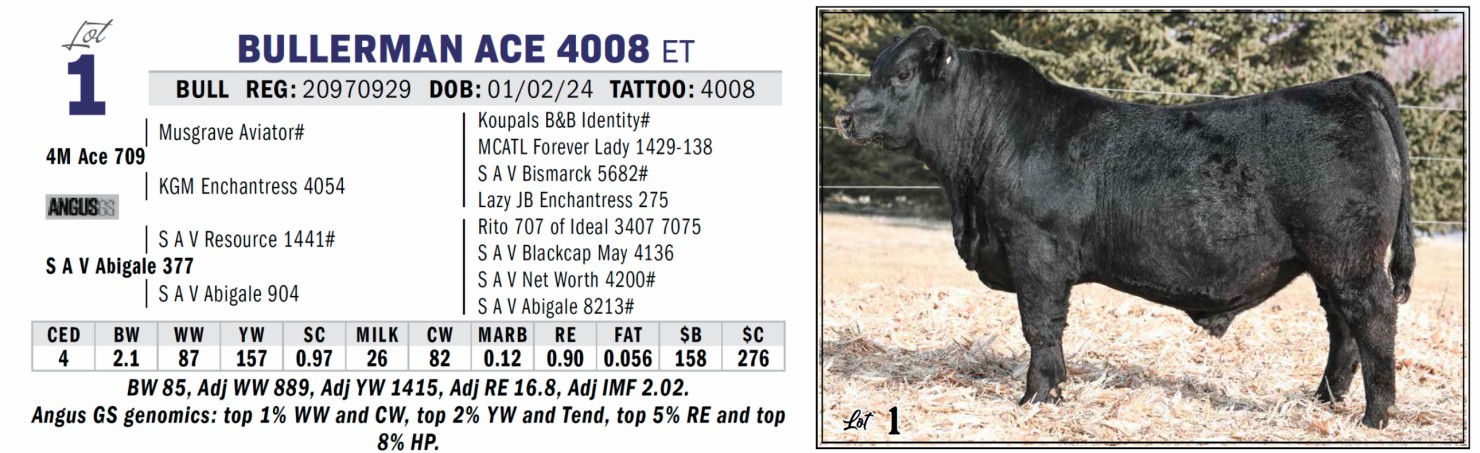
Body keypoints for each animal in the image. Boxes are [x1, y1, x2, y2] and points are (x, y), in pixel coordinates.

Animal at [834, 26, 1415, 428]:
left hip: (1349, 254)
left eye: (902, 75)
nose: (844, 117)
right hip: (1328, 261)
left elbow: (1040, 326)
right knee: (1341, 326)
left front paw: (1038, 397)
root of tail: (1350, 85)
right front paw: (1053, 392)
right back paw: (1324, 399)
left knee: (1373, 319)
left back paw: (1376, 416)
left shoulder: (1035, 250)